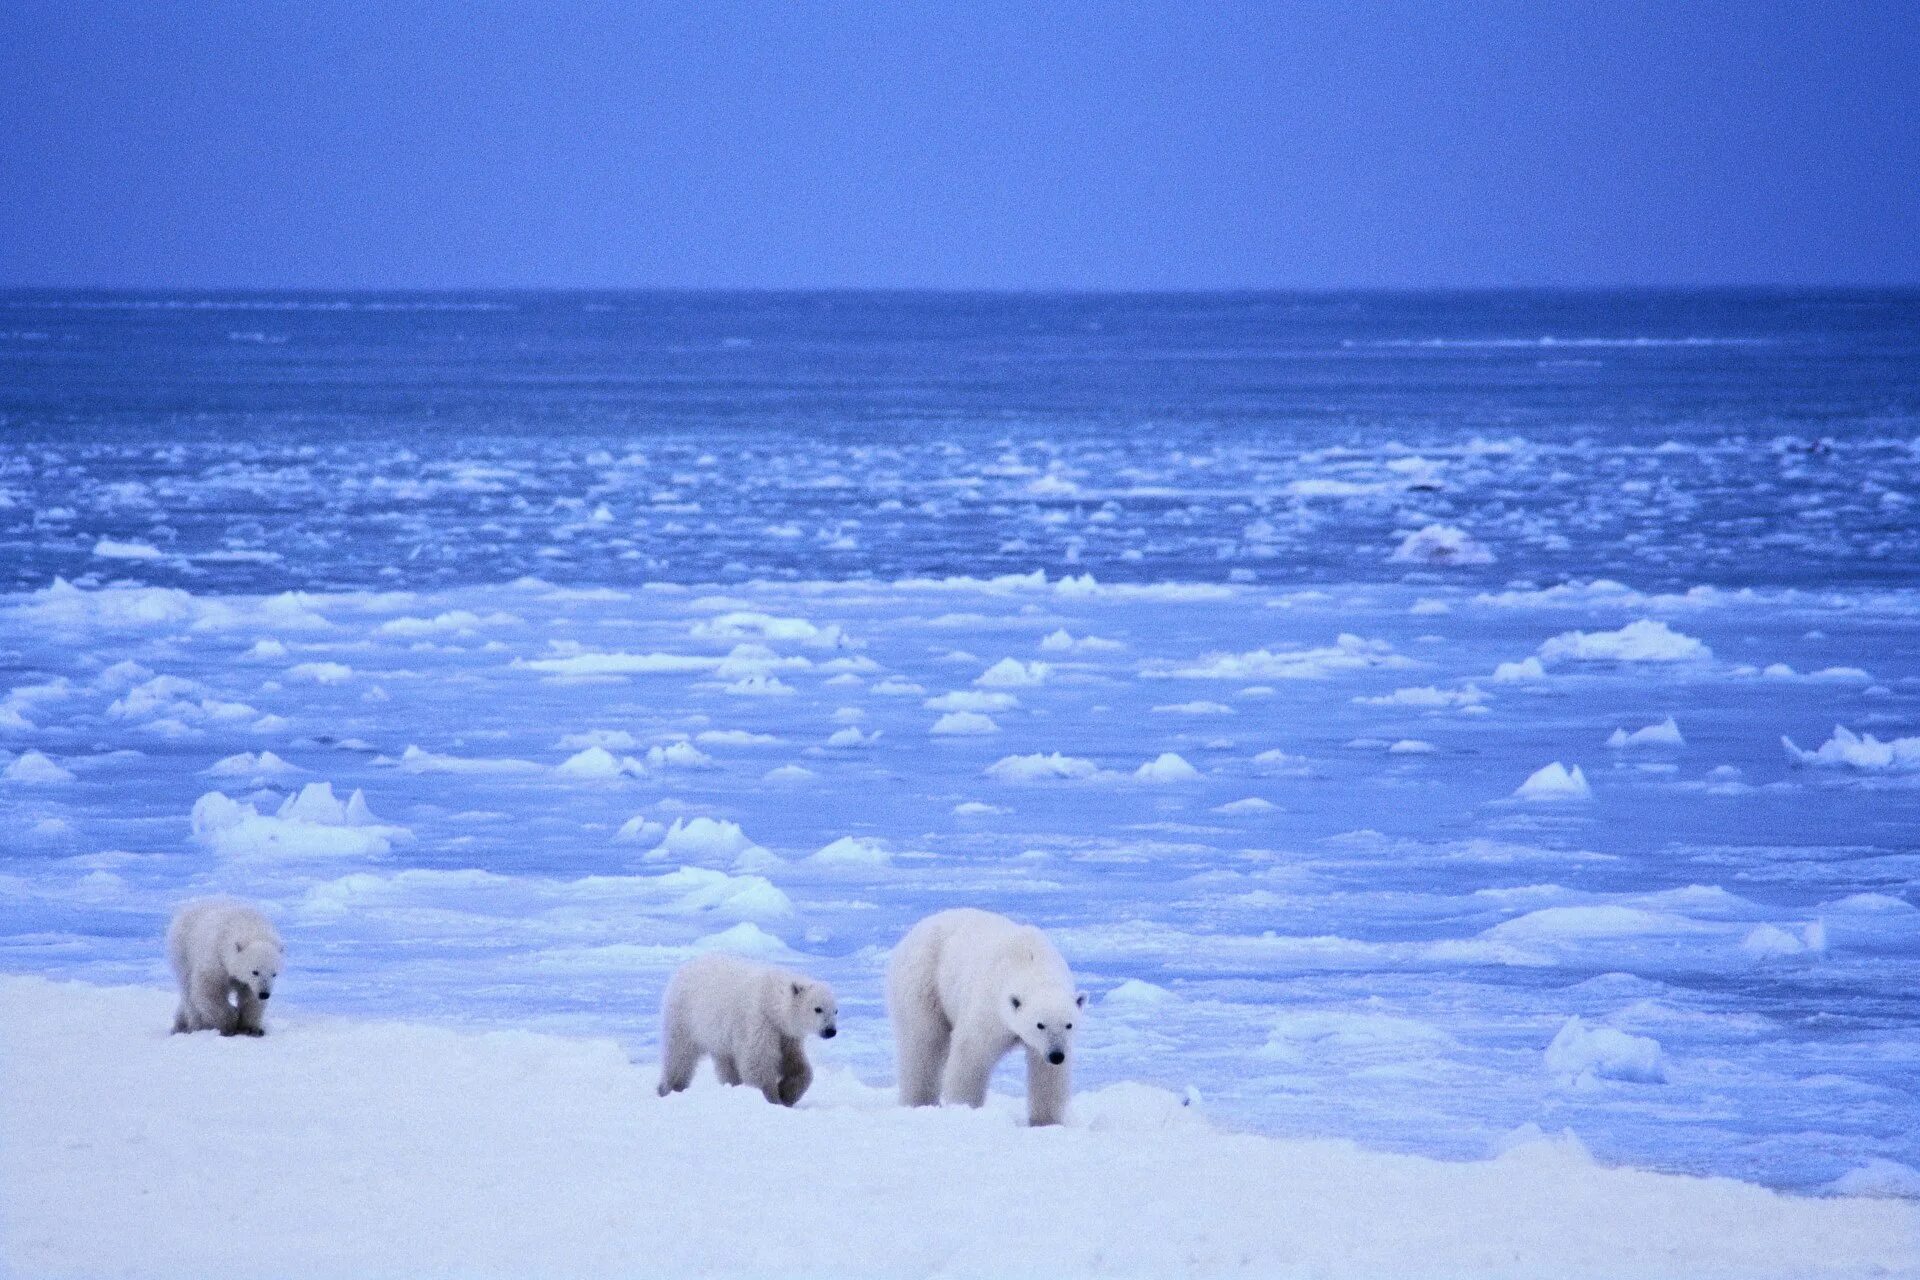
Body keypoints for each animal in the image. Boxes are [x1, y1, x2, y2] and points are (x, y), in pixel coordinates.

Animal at [168, 898, 282, 1036]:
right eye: (255, 972)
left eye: (274, 974)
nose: (264, 994)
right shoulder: (216, 960)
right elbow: (210, 991)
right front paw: (230, 1022)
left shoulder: (247, 983)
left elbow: (250, 998)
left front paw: (251, 1028)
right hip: (183, 953)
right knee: (188, 991)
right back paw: (195, 1025)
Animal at [656, 955, 837, 1105]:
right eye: (818, 1009)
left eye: (836, 1011)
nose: (831, 1031)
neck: (770, 999)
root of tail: (682, 969)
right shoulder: (758, 1022)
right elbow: (758, 1062)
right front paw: (772, 1099)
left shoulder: (785, 1034)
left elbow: (796, 1064)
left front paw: (787, 1093)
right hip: (684, 1018)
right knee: (679, 1056)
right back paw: (669, 1088)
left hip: (719, 1037)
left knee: (725, 1063)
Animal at [890, 905, 1090, 1128]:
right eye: (1040, 1025)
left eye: (1069, 1025)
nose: (1056, 1055)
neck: (1031, 963)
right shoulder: (989, 1008)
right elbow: (971, 1055)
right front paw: (965, 1108)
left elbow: (1046, 1074)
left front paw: (1046, 1122)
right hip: (923, 982)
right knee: (923, 1044)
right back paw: (919, 1102)